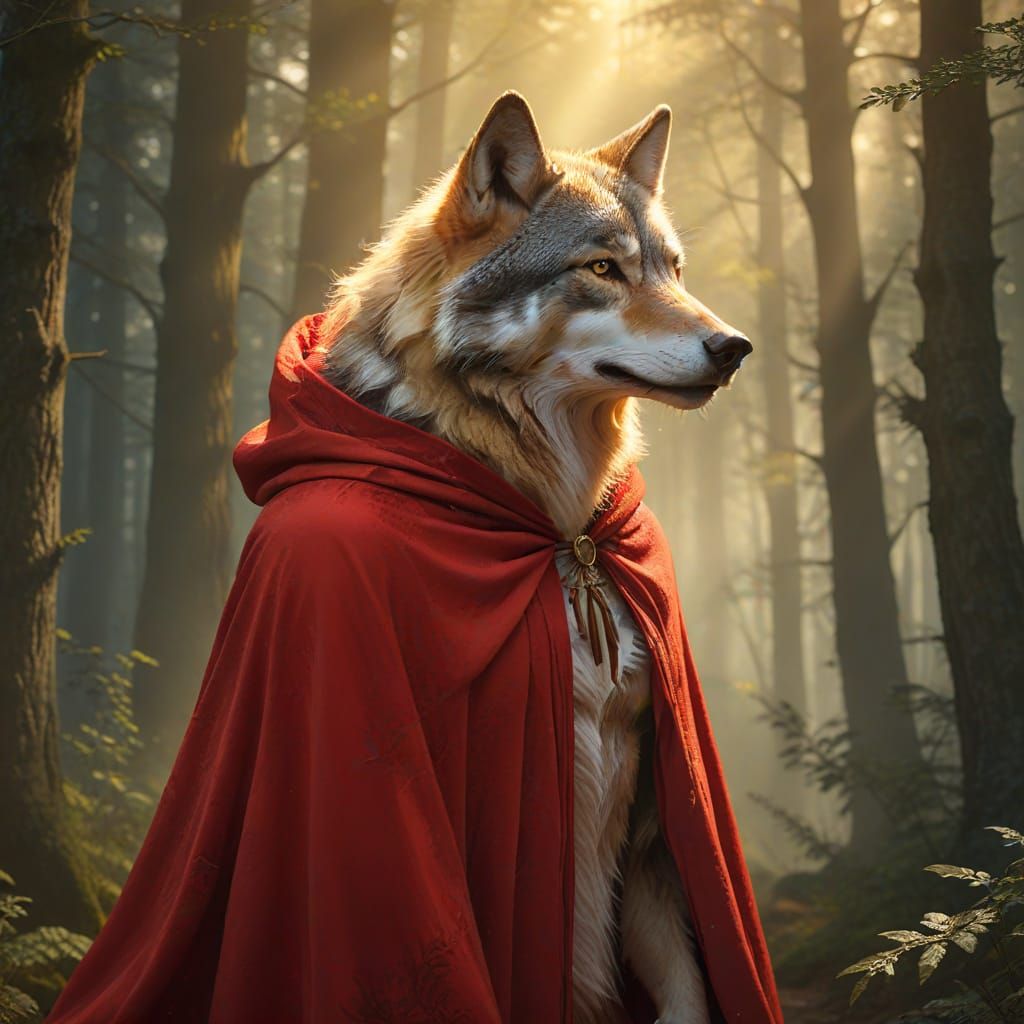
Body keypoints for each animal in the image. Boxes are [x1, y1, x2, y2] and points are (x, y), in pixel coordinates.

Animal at [317, 92, 752, 1024]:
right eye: (603, 268)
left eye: (672, 268)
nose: (734, 348)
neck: (564, 533)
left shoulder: (654, 824)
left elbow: (687, 988)